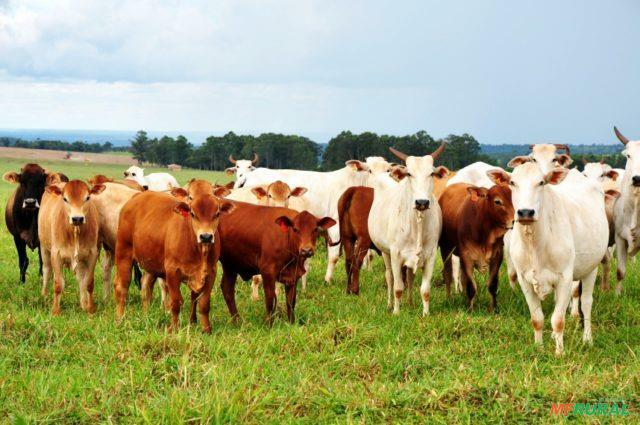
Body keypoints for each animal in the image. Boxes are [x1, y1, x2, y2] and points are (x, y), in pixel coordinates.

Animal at [38, 180, 106, 315]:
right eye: (65, 199)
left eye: (87, 197)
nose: (77, 218)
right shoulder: (56, 254)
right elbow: (58, 284)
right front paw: (55, 311)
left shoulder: (92, 253)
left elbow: (88, 283)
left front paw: (90, 309)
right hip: (44, 249)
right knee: (47, 270)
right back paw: (44, 295)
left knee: (81, 279)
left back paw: (83, 304)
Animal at [113, 191, 235, 332]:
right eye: (193, 214)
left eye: (217, 213)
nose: (206, 236)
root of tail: (138, 196)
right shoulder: (172, 271)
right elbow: (176, 302)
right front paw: (175, 329)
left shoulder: (211, 272)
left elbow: (204, 303)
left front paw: (206, 330)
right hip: (123, 253)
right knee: (122, 287)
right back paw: (119, 319)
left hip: (151, 263)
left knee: (146, 286)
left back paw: (146, 316)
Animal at [366, 144, 449, 315]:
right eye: (409, 174)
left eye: (431, 173)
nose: (422, 202)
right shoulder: (396, 255)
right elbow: (398, 287)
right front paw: (396, 313)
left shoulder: (430, 256)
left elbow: (425, 290)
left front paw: (426, 314)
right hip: (386, 252)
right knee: (389, 277)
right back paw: (389, 304)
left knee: (410, 277)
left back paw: (410, 303)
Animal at [438, 171, 514, 311]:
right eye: (497, 201)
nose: (513, 221)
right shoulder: (466, 256)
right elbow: (471, 285)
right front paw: (470, 310)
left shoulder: (497, 256)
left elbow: (492, 285)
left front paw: (494, 309)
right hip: (445, 248)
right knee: (448, 274)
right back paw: (449, 299)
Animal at [507, 162, 608, 355]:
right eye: (512, 182)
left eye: (541, 182)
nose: (525, 212)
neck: (535, 243)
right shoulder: (524, 280)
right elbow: (537, 318)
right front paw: (538, 347)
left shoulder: (565, 278)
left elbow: (558, 320)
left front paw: (559, 353)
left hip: (591, 268)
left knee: (586, 303)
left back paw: (587, 339)